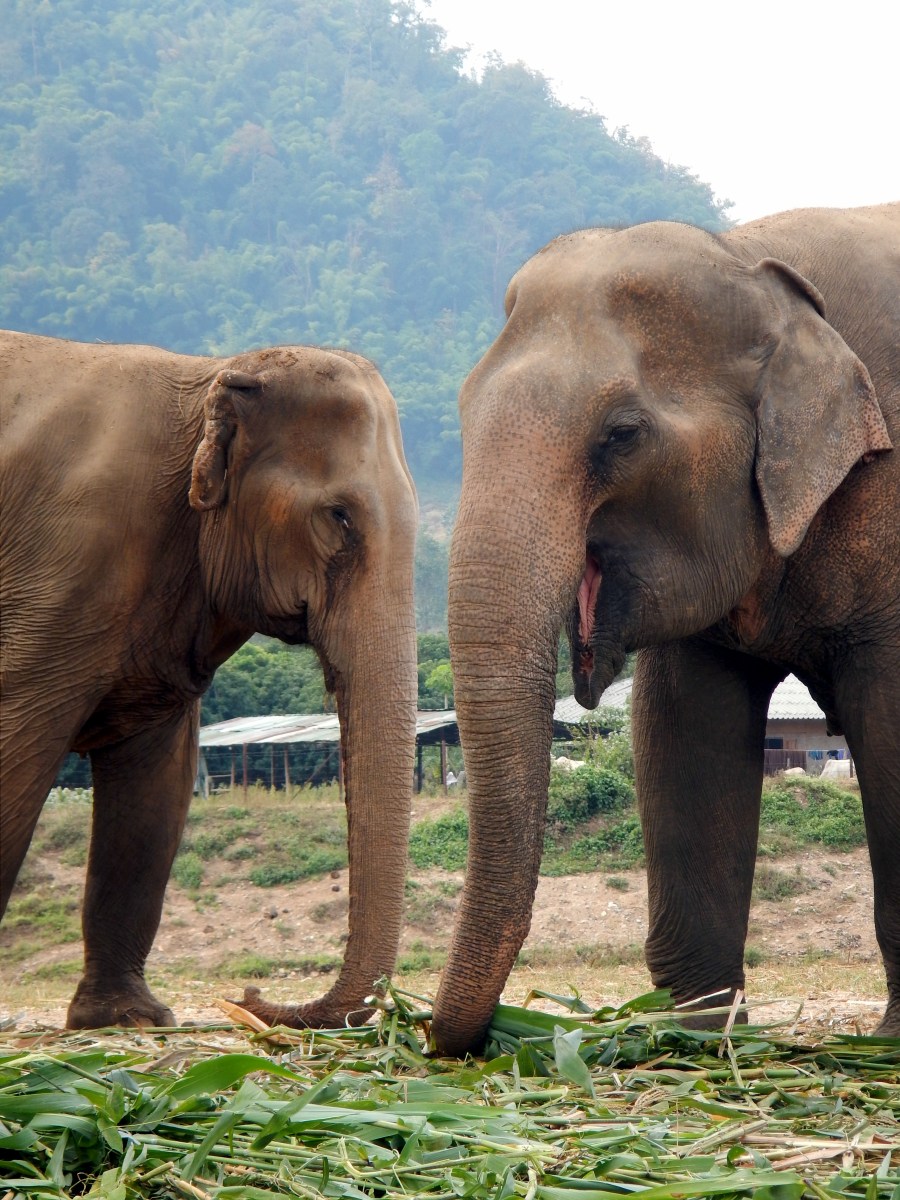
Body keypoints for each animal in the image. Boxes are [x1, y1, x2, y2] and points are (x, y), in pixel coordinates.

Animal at [0, 332, 418, 1030]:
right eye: (338, 516)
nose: (248, 998)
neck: (208, 377)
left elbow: (157, 787)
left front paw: (128, 1018)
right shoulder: (59, 568)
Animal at [432, 203, 899, 1055]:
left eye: (621, 433)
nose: (443, 1038)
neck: (756, 265)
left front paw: (881, 1048)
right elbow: (684, 731)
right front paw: (698, 1044)